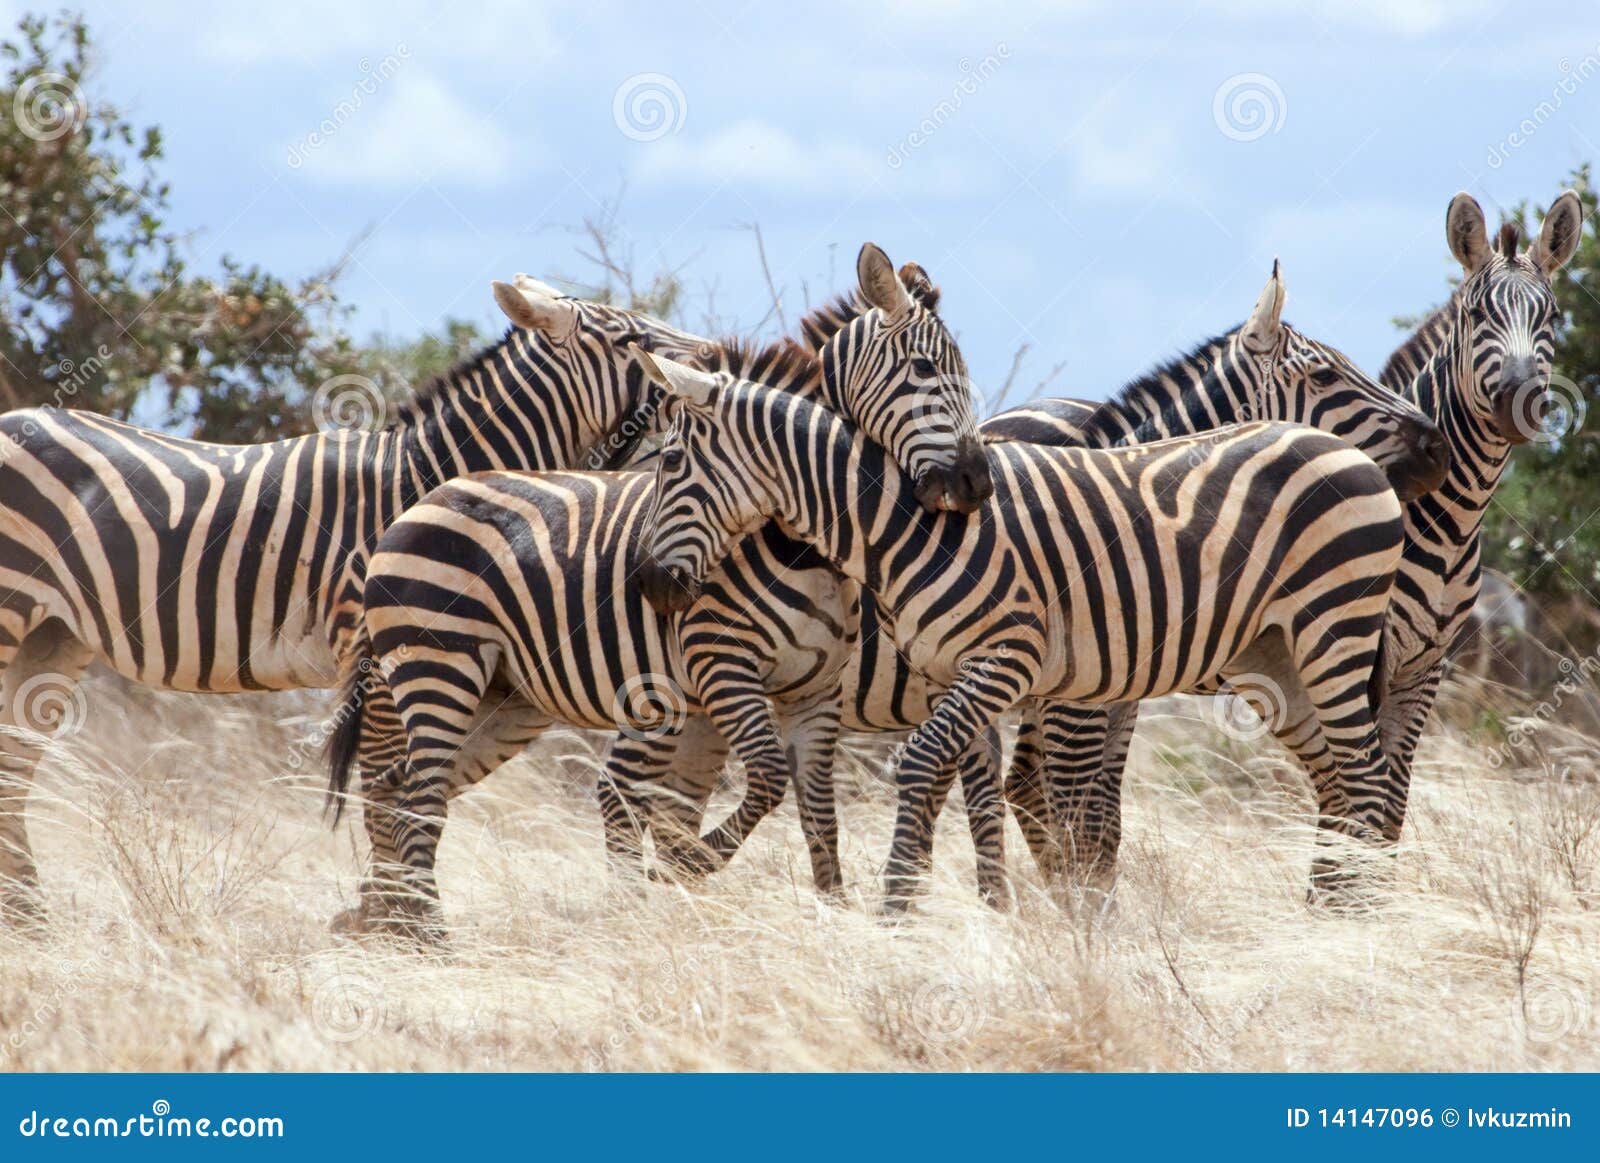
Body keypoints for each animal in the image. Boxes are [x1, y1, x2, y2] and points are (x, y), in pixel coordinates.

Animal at [0, 271, 757, 925]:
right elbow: (388, 789)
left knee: (13, 763)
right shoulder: (381, 649)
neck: (426, 484)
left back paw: (30, 918)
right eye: (629, 337)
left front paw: (382, 913)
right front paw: (400, 920)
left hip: (55, 634)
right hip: (13, 607)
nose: (717, 355)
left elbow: (413, 785)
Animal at [325, 244, 989, 936]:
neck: (796, 546)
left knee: (402, 789)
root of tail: (416, 506)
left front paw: (834, 917)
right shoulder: (720, 668)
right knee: (412, 792)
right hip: (438, 668)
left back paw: (391, 919)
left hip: (500, 695)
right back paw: (422, 932)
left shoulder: (816, 690)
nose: (978, 482)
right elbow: (762, 783)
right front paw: (678, 875)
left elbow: (818, 816)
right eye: (925, 369)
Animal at [637, 262, 1449, 900]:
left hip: (1316, 639)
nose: (1436, 446)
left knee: (1359, 781)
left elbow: (1063, 812)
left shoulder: (1067, 684)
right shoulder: (1056, 690)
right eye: (1323, 373)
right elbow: (1044, 807)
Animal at [1006, 190, 1584, 885]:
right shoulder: (1350, 657)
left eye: (1553, 317)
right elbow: (1353, 800)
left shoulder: (1424, 667)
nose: (1518, 400)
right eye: (1476, 316)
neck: (1445, 523)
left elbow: (1389, 809)